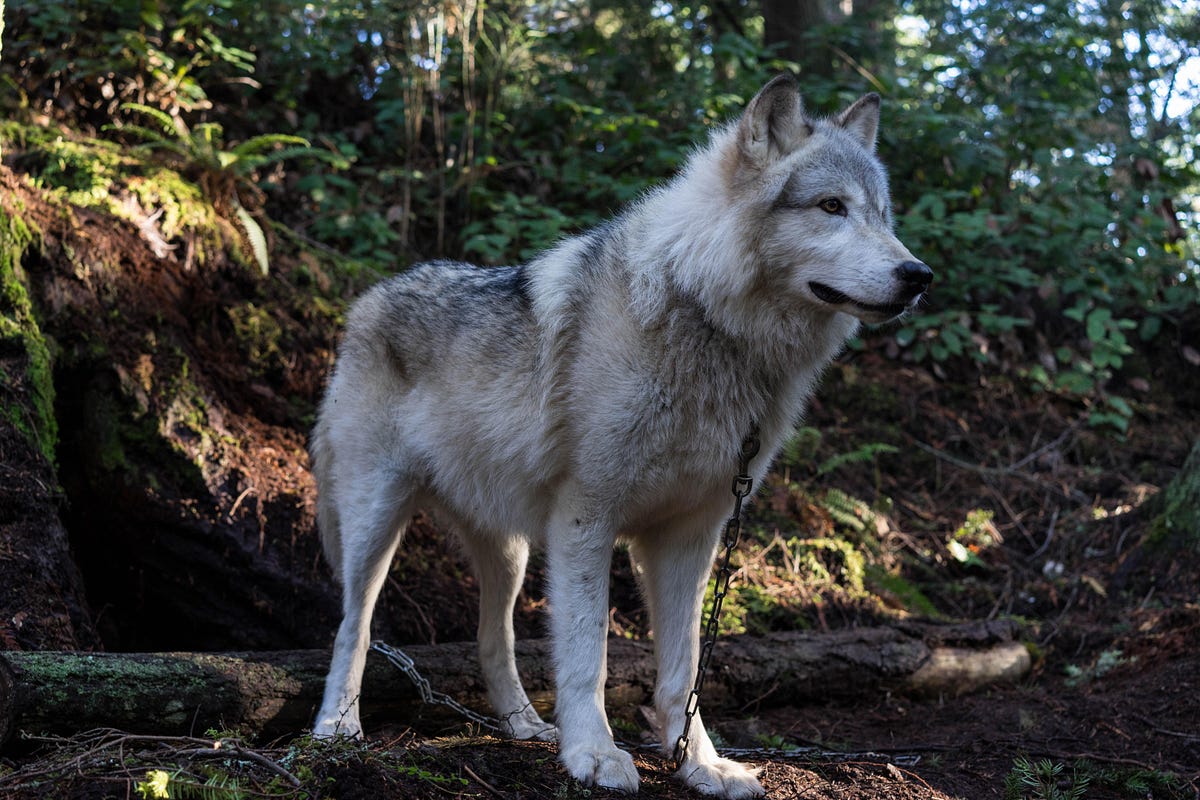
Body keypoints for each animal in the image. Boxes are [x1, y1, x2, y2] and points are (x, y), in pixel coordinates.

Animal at [310, 75, 930, 798]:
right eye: (832, 206)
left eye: (884, 216)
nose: (919, 275)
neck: (711, 326)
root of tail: (366, 302)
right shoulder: (587, 517)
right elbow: (589, 653)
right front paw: (595, 754)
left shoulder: (690, 537)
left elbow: (684, 669)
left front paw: (700, 764)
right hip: (377, 526)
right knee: (353, 628)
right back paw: (338, 729)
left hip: (511, 553)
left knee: (494, 639)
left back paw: (524, 726)